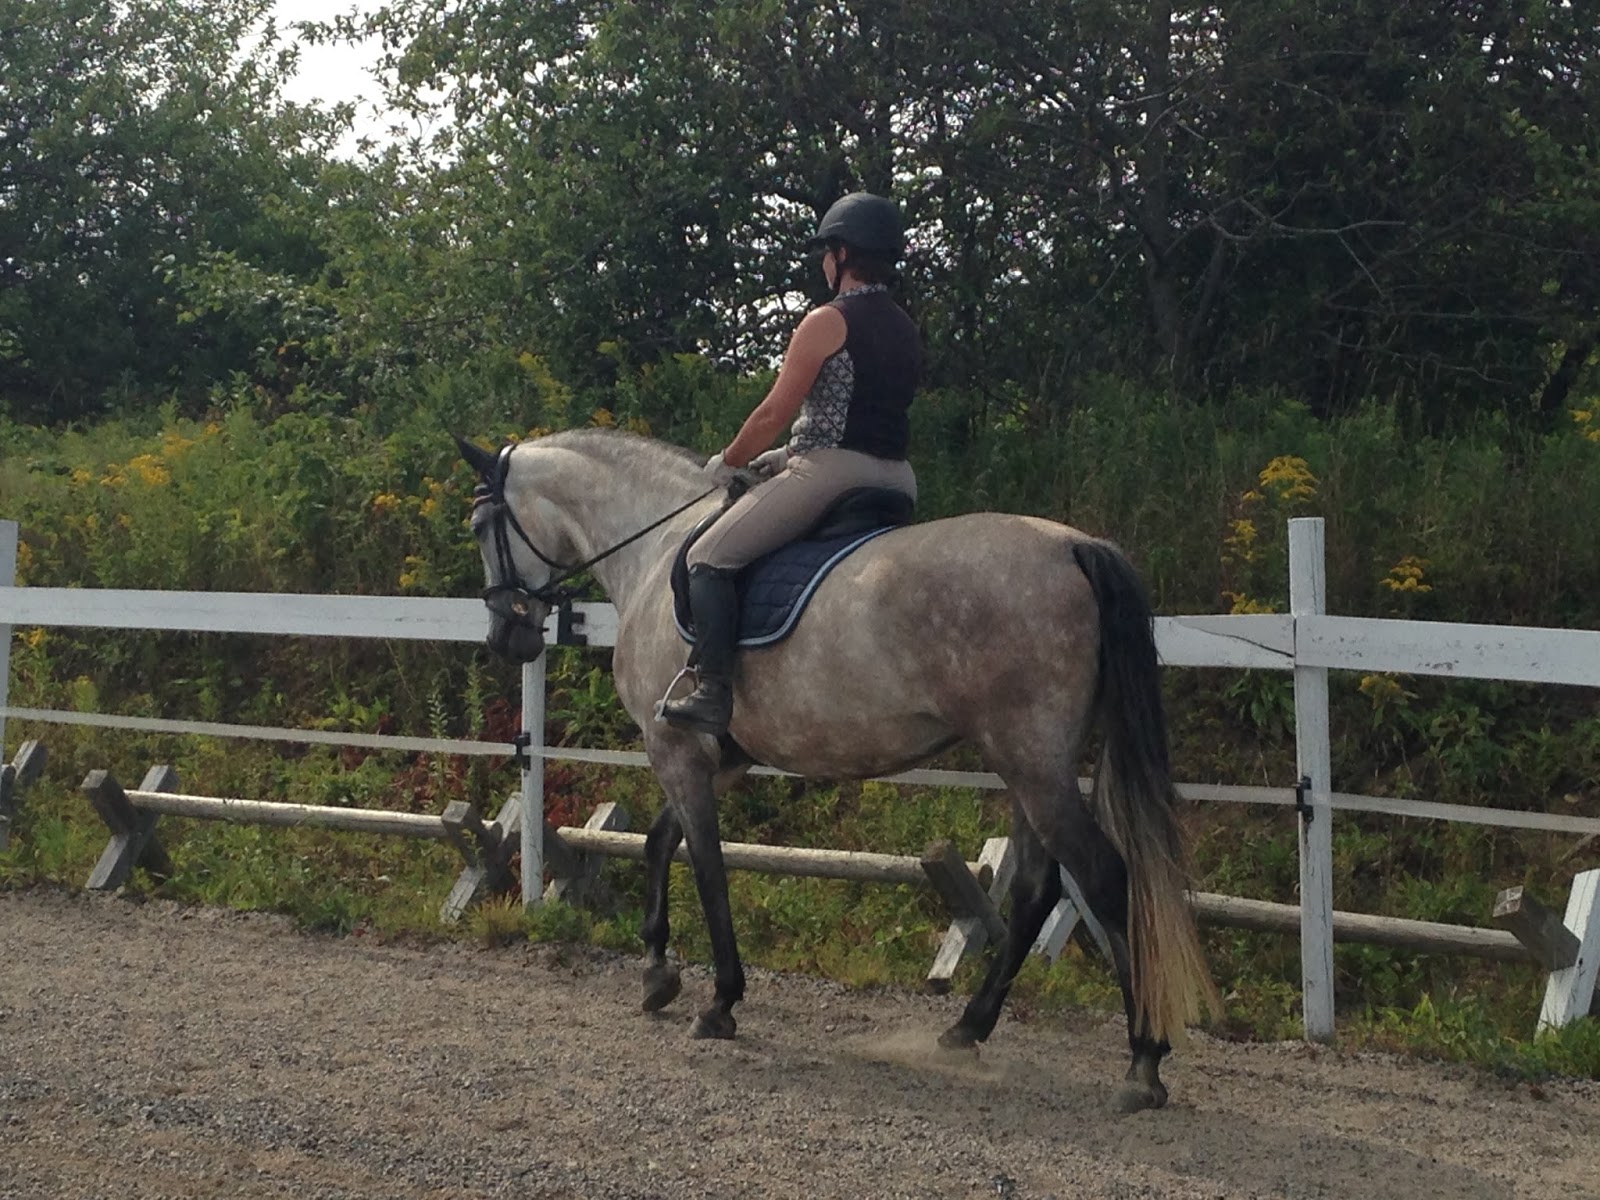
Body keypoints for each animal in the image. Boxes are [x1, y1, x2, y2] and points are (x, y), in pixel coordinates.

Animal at [457, 427, 1217, 1112]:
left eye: (481, 525)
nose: (505, 638)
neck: (655, 549)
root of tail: (1074, 546)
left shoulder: (674, 749)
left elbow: (706, 864)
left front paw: (720, 1000)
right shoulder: (715, 757)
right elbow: (659, 840)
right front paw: (656, 973)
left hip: (1033, 764)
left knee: (1106, 877)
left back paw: (1144, 1062)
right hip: (1028, 766)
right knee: (1037, 886)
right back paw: (966, 1030)